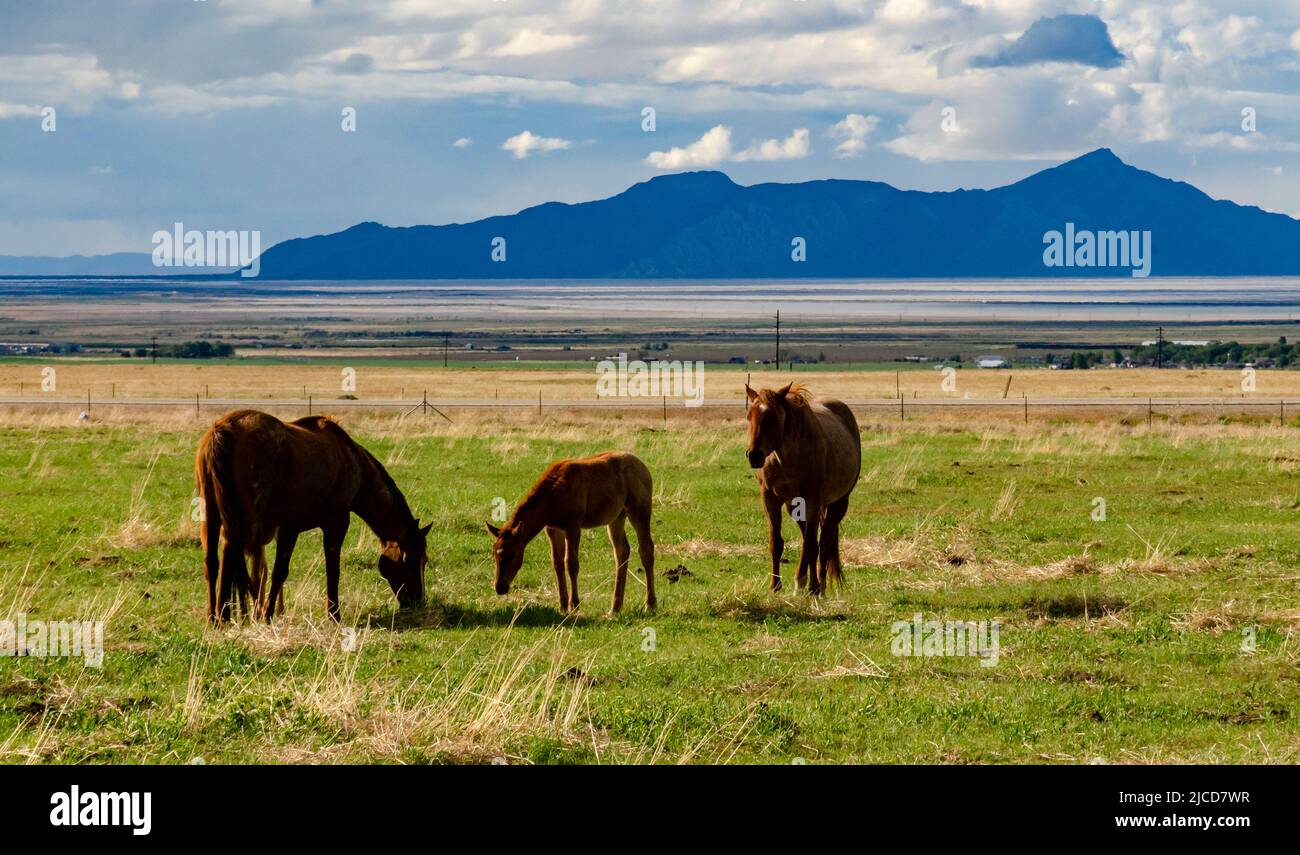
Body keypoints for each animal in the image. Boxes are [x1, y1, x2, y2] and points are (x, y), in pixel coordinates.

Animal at [194, 409, 429, 624]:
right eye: (411, 558)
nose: (417, 600)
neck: (349, 458)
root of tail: (224, 428)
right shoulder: (331, 523)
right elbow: (324, 570)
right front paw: (331, 615)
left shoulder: (288, 529)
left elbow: (278, 572)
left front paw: (267, 613)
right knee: (230, 555)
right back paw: (224, 615)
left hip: (211, 517)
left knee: (212, 562)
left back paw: (214, 617)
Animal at [484, 451, 656, 614]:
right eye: (494, 554)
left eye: (512, 555)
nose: (500, 587)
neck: (550, 500)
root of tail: (644, 467)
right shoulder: (552, 529)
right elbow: (557, 563)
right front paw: (562, 605)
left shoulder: (573, 526)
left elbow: (571, 563)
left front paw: (575, 605)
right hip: (617, 517)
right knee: (621, 551)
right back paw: (615, 608)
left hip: (639, 509)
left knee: (646, 550)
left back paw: (650, 604)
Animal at [744, 383, 861, 595]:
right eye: (749, 415)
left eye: (773, 417)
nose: (754, 455)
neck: (787, 458)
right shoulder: (770, 499)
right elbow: (777, 543)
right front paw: (775, 586)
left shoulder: (813, 499)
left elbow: (813, 545)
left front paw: (813, 587)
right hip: (794, 505)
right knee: (809, 537)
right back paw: (801, 581)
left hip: (838, 504)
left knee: (823, 542)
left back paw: (819, 586)